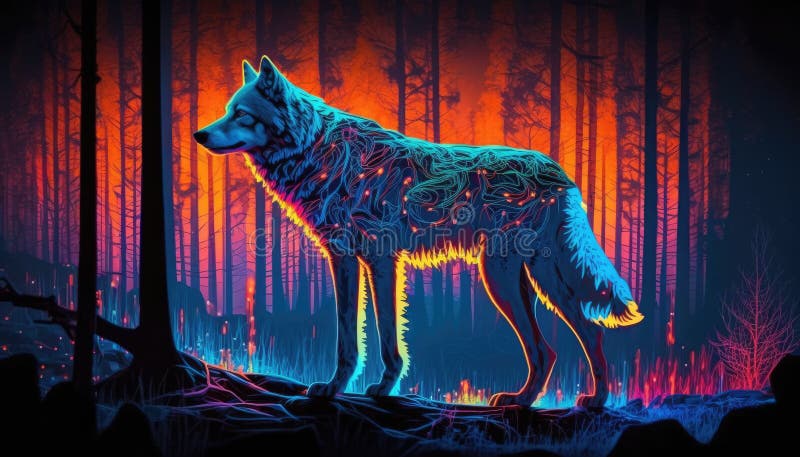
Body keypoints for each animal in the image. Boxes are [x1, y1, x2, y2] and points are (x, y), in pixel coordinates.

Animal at [194, 56, 643, 407]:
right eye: (227, 110)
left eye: (242, 114)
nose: (199, 134)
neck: (321, 152)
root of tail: (560, 171)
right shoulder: (348, 258)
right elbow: (355, 334)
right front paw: (346, 387)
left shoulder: (376, 259)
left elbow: (376, 336)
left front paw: (371, 387)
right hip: (515, 281)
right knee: (547, 349)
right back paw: (522, 401)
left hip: (521, 279)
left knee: (585, 333)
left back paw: (594, 402)